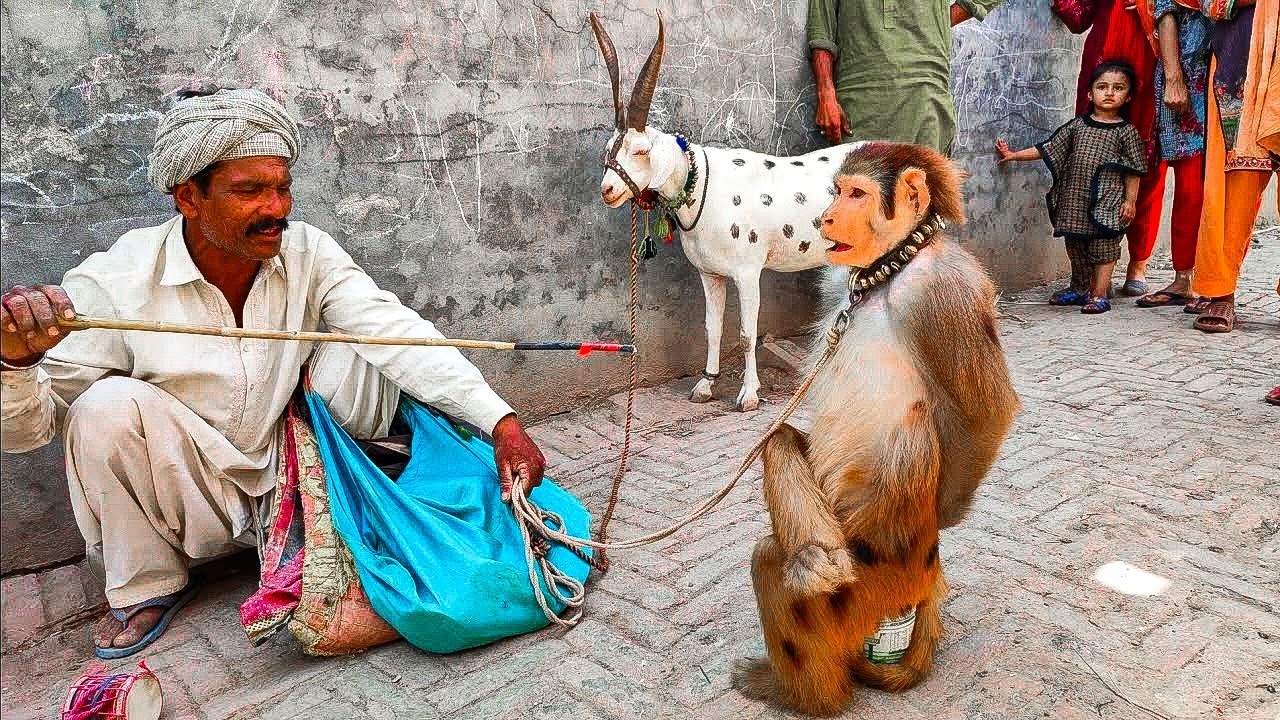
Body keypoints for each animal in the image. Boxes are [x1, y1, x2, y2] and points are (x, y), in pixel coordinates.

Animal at [732, 142, 1020, 716]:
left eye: (857, 194)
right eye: (838, 191)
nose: (825, 218)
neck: (887, 276)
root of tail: (923, 577)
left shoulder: (945, 290)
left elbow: (985, 413)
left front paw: (950, 511)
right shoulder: (840, 283)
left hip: (873, 589)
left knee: (774, 562)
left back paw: (807, 691)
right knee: (781, 440)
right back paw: (819, 553)